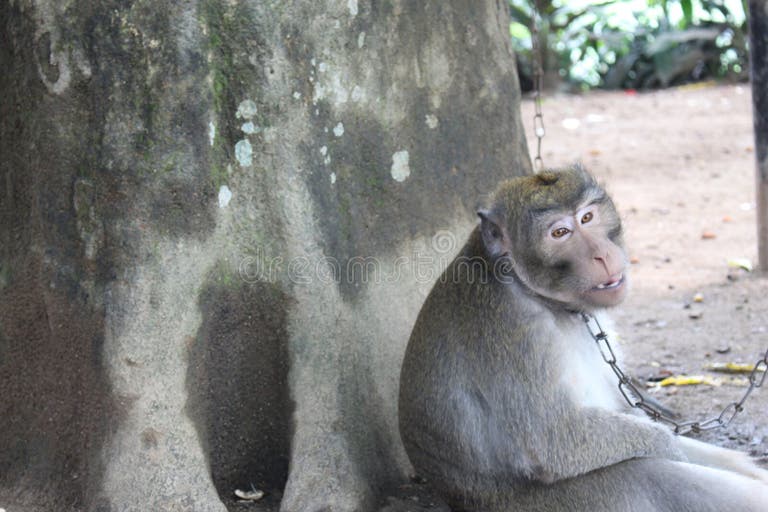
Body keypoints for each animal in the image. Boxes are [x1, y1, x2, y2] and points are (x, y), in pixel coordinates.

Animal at [398, 164, 768, 512]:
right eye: (560, 232)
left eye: (587, 217)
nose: (602, 253)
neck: (539, 296)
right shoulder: (512, 331)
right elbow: (555, 441)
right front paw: (671, 447)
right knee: (650, 475)